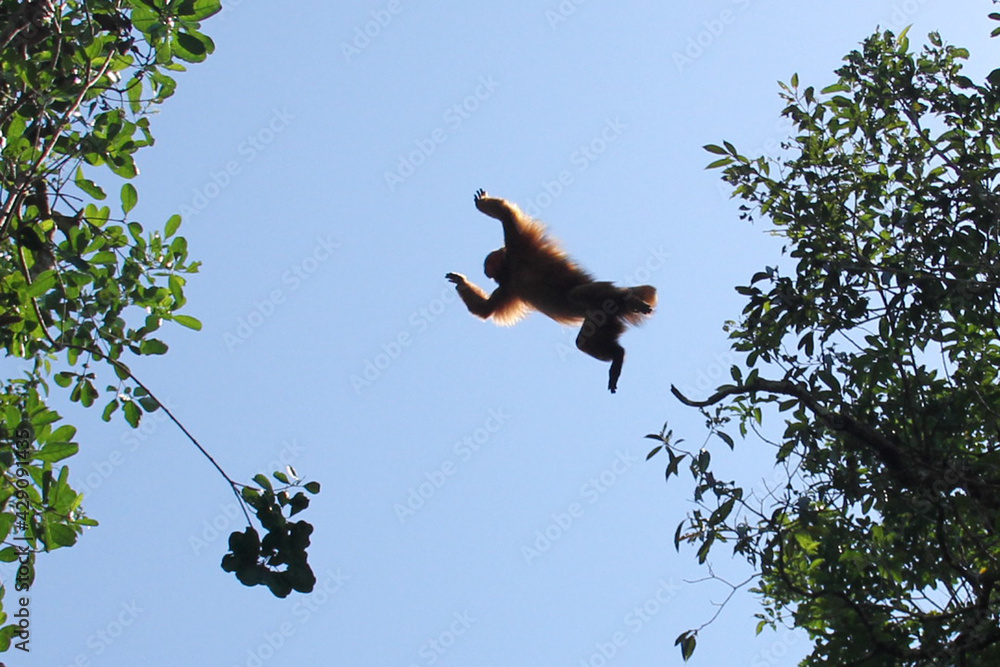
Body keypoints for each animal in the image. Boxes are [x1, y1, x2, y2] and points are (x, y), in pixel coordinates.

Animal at [447, 189, 656, 393]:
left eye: (488, 265)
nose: (485, 271)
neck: (511, 268)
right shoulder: (507, 287)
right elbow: (485, 309)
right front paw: (460, 281)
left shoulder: (517, 247)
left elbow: (506, 215)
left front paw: (482, 204)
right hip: (603, 319)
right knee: (584, 342)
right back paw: (617, 357)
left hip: (606, 300)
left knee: (577, 294)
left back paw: (630, 300)